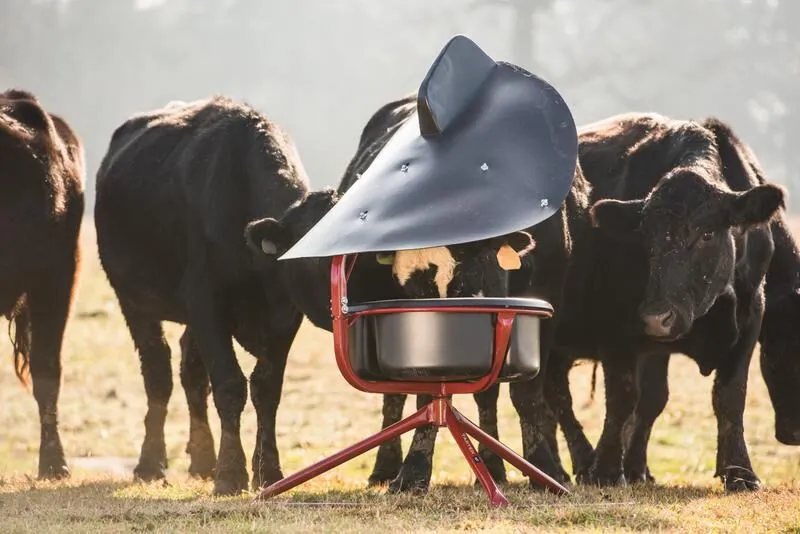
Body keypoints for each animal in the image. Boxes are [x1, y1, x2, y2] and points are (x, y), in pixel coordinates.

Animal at [94, 96, 310, 495]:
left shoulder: (284, 317)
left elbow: (266, 388)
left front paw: (267, 470)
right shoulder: (206, 303)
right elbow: (229, 385)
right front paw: (231, 475)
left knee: (191, 372)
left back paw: (202, 459)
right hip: (133, 300)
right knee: (158, 372)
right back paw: (151, 464)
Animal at [546, 113, 787, 492]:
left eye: (707, 234)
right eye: (646, 239)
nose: (657, 317)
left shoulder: (751, 315)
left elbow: (727, 396)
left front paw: (740, 473)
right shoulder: (618, 326)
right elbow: (624, 396)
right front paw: (607, 471)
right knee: (553, 397)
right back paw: (577, 464)